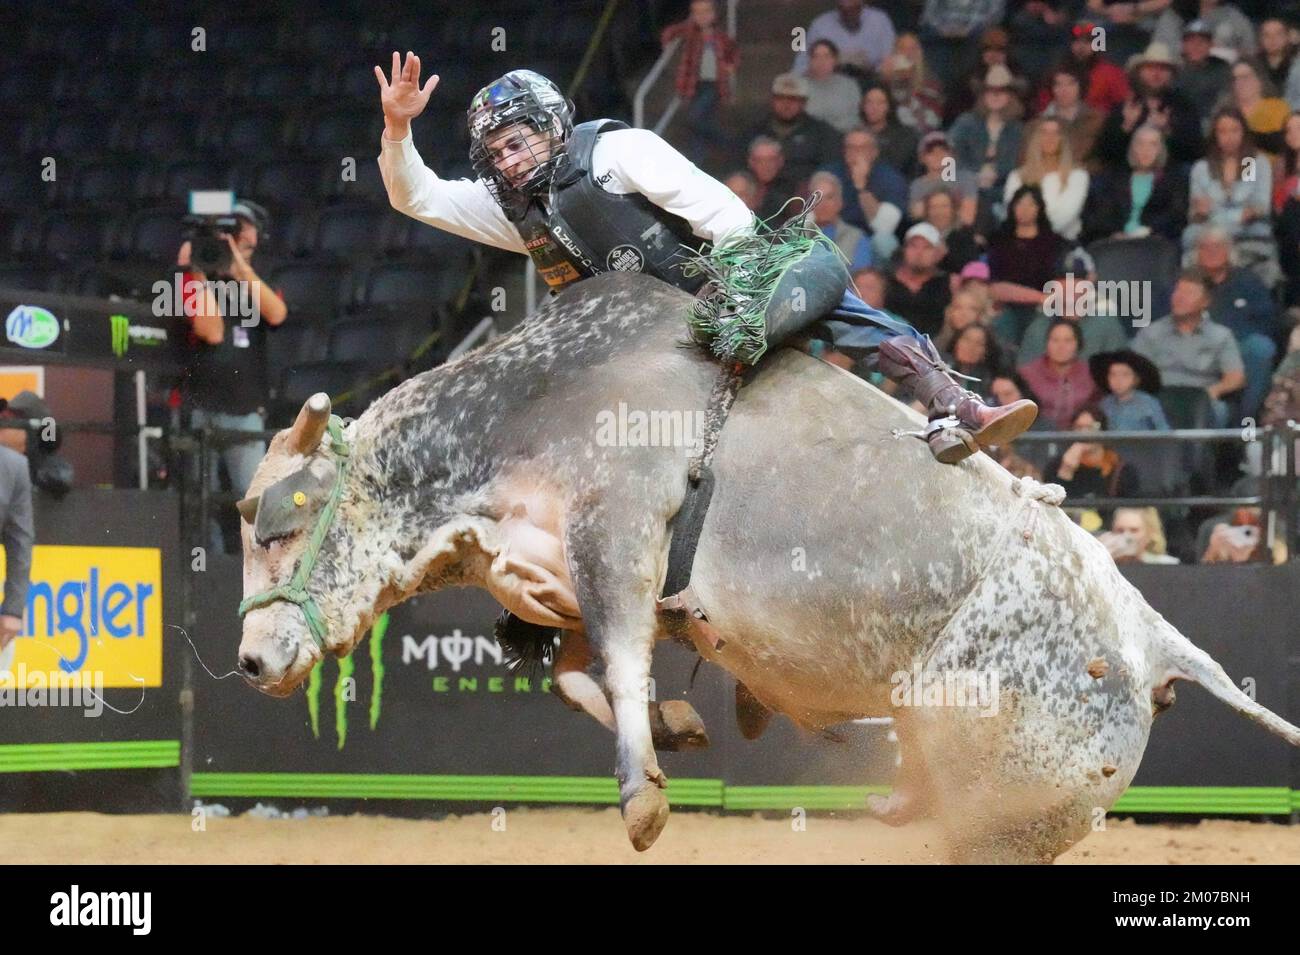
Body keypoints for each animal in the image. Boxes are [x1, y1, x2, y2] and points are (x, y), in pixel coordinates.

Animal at [236, 272, 1300, 861]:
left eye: (281, 521)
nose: (248, 661)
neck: (520, 408)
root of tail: (1155, 639)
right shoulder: (559, 585)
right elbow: (585, 670)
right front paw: (680, 725)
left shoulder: (617, 526)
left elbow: (617, 656)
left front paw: (644, 799)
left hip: (1008, 806)